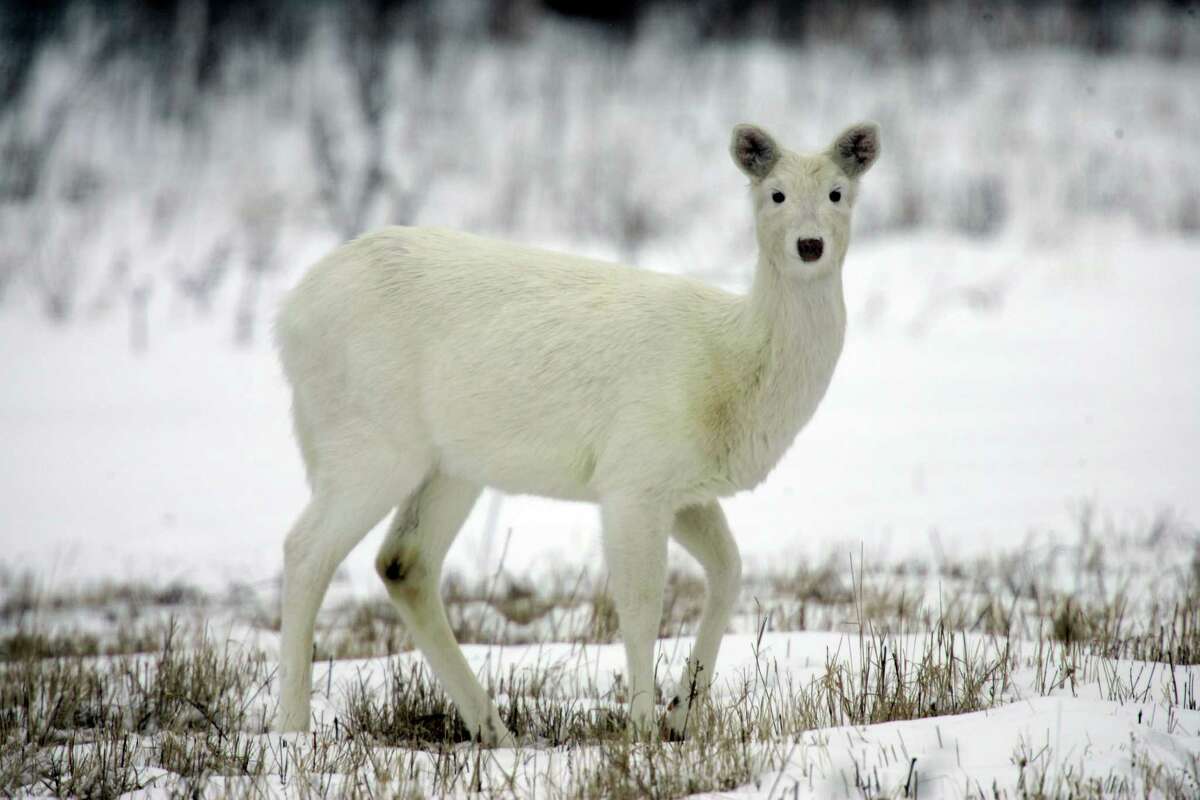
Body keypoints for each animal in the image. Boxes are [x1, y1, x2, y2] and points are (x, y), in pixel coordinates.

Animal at [274, 121, 881, 744]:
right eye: (776, 193)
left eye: (837, 193)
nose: (810, 245)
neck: (732, 368)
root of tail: (287, 316)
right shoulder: (633, 474)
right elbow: (641, 604)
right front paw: (641, 727)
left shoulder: (684, 487)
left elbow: (729, 571)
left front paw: (682, 712)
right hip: (370, 439)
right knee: (306, 550)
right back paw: (293, 726)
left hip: (453, 465)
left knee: (403, 562)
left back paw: (494, 731)